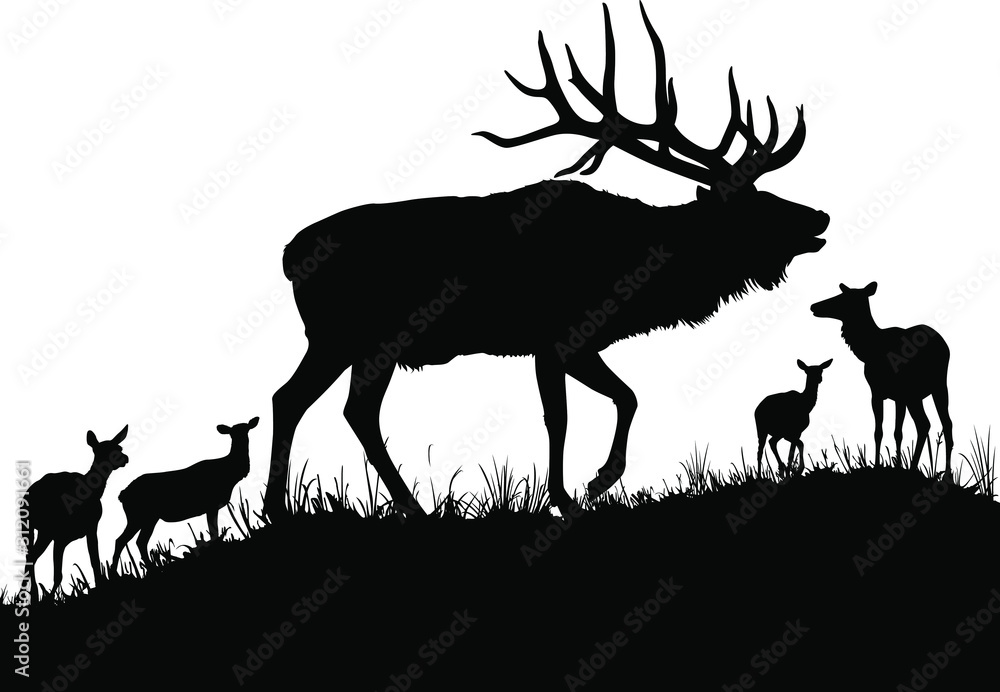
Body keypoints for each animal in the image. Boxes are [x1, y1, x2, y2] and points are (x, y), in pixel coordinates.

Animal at [25, 425, 129, 602]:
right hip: (38, 529)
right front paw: (50, 599)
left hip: (44, 532)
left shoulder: (91, 527)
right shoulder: (60, 535)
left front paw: (101, 588)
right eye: (101, 450)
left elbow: (95, 560)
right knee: (30, 556)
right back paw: (32, 596)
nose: (125, 458)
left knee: (31, 556)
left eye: (119, 448)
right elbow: (58, 574)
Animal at [110, 417, 258, 571]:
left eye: (247, 429)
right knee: (123, 540)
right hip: (138, 516)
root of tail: (122, 495)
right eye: (232, 433)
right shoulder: (211, 505)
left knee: (138, 541)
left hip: (148, 518)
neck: (230, 475)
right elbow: (214, 533)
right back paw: (117, 571)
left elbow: (214, 533)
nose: (242, 440)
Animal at [263, 2, 829, 522]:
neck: (635, 272)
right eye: (757, 207)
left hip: (359, 344)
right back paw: (334, 508)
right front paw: (567, 497)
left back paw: (354, 507)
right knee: (314, 402)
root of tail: (290, 256)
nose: (820, 216)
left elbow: (626, 397)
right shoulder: (554, 335)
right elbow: (562, 417)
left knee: (328, 405)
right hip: (345, 335)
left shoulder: (579, 341)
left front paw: (594, 482)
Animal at [811, 283, 953, 478]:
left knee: (928, 423)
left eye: (842, 297)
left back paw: (921, 470)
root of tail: (945, 346)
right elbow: (893, 432)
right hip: (934, 388)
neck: (868, 350)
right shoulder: (896, 396)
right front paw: (895, 465)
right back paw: (942, 473)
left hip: (921, 391)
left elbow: (883, 431)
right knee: (942, 423)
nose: (814, 306)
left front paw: (882, 466)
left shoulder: (881, 392)